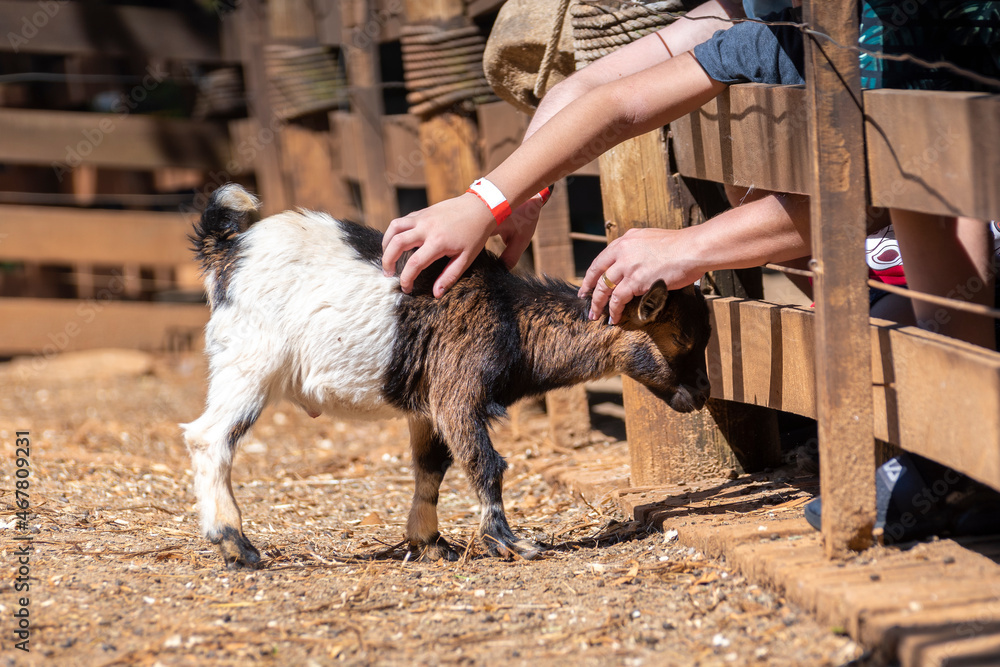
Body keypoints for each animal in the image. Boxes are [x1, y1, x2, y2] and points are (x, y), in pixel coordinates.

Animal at [181, 184, 711, 568]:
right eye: (682, 339)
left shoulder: (427, 403)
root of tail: (226, 251)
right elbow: (485, 463)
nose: (703, 393)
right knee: (210, 438)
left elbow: (431, 467)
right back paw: (238, 547)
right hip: (250, 360)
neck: (510, 316)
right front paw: (511, 543)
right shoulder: (458, 390)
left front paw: (430, 544)